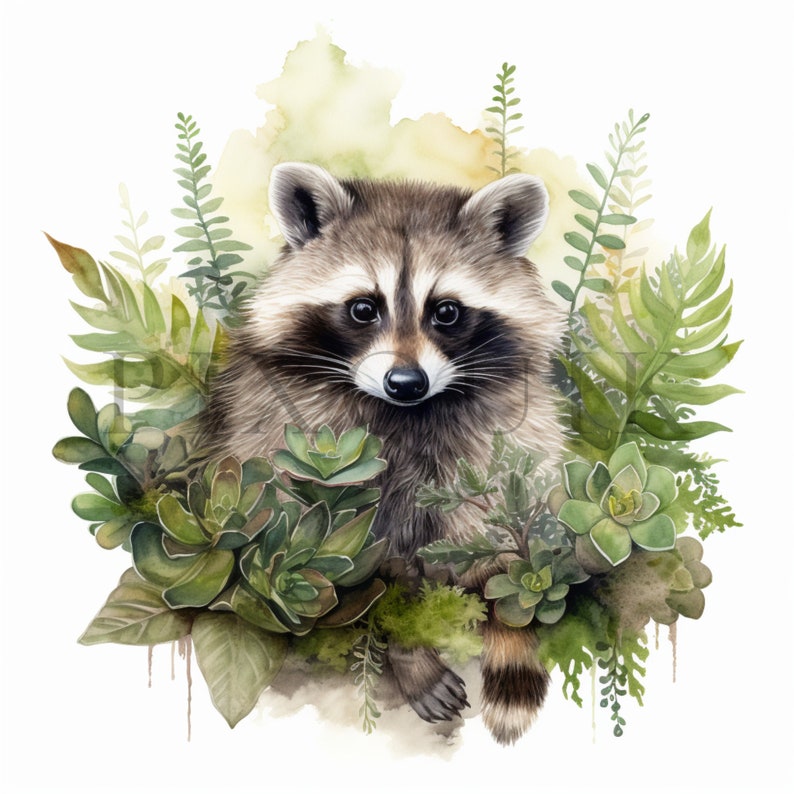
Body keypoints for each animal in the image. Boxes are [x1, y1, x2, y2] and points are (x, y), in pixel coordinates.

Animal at [202, 162, 565, 744]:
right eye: (363, 308)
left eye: (447, 312)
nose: (406, 383)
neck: (406, 413)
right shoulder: (278, 424)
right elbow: (354, 555)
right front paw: (409, 651)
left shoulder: (497, 433)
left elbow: (481, 528)